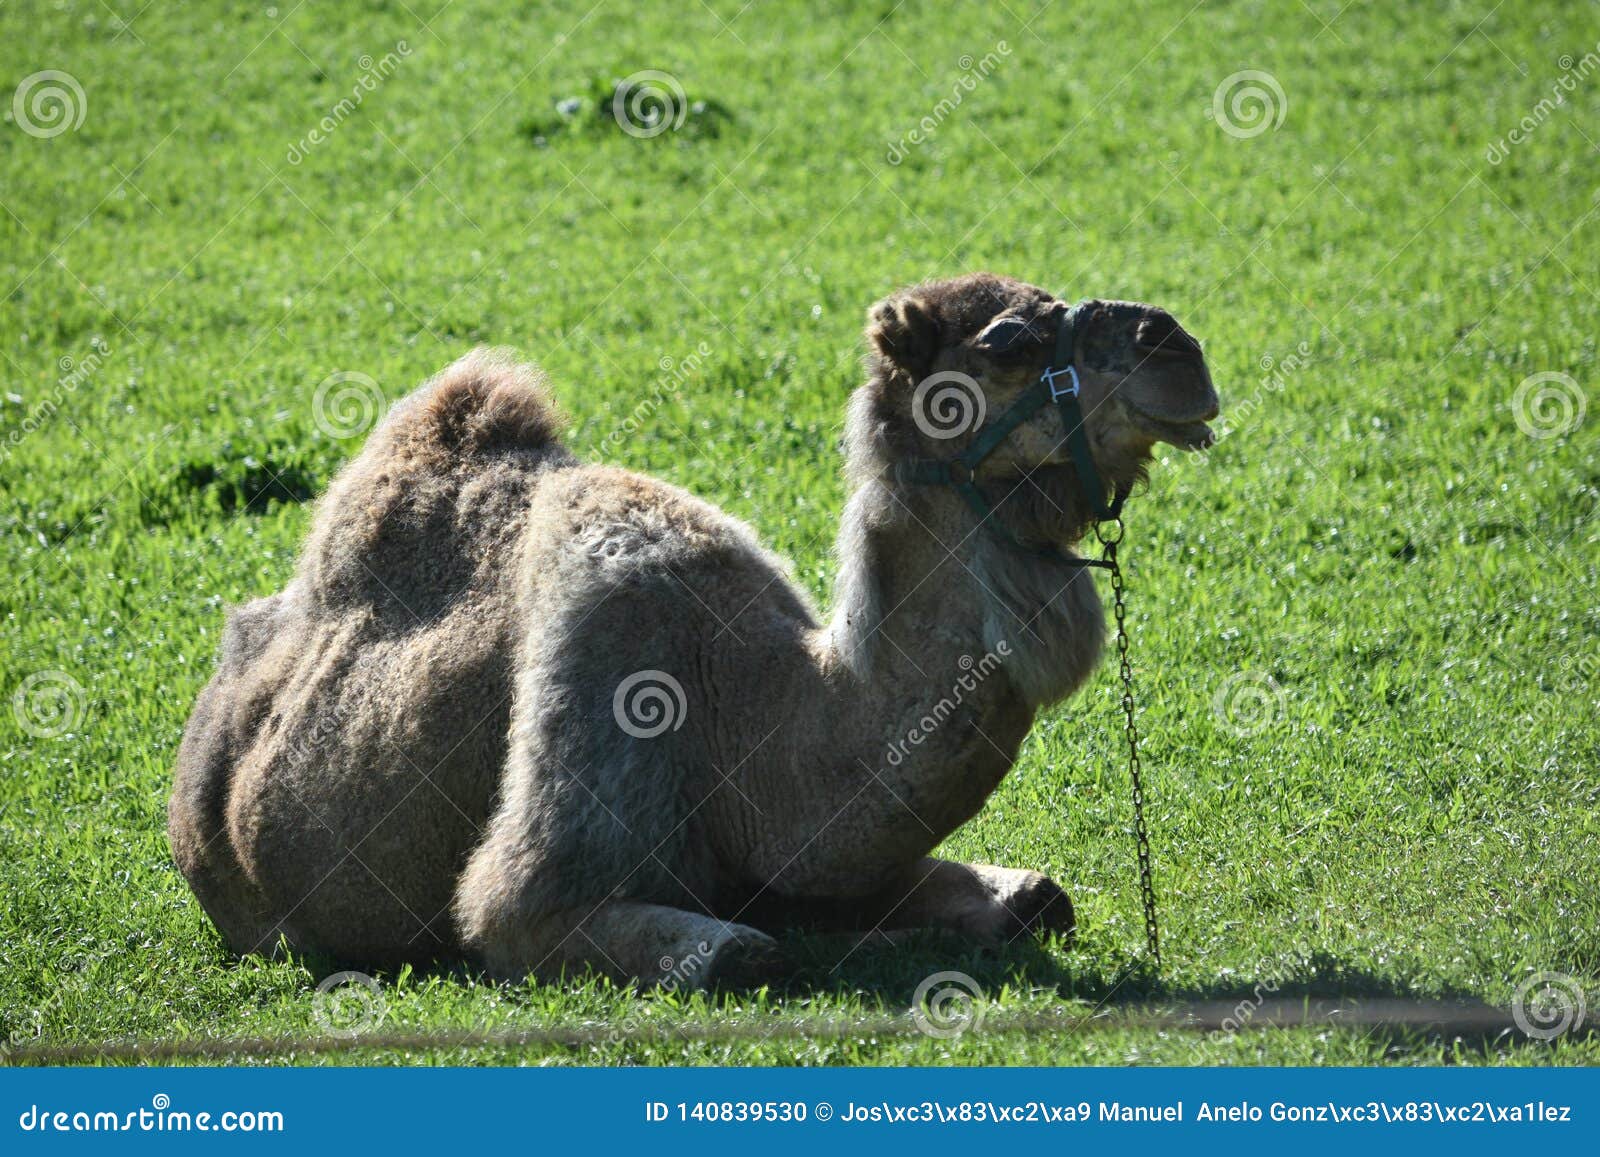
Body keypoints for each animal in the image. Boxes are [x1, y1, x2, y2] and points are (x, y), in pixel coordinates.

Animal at [167, 273, 1218, 988]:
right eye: (1007, 340)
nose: (1178, 347)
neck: (752, 709)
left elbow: (1037, 897)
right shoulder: (599, 717)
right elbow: (730, 951)